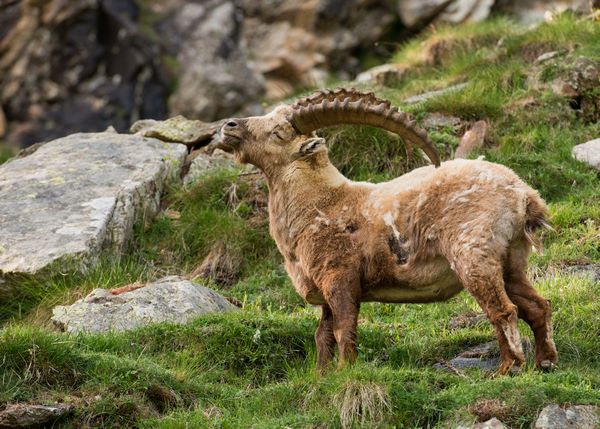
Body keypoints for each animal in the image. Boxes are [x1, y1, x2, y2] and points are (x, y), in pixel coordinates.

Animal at [214, 88, 556, 374]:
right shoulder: (325, 291)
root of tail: (522, 193)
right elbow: (322, 334)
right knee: (537, 306)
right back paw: (545, 361)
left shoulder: (340, 278)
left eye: (278, 132)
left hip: (474, 256)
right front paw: (321, 375)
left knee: (504, 310)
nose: (228, 126)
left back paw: (508, 368)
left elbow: (344, 329)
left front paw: (345, 373)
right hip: (510, 261)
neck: (321, 204)